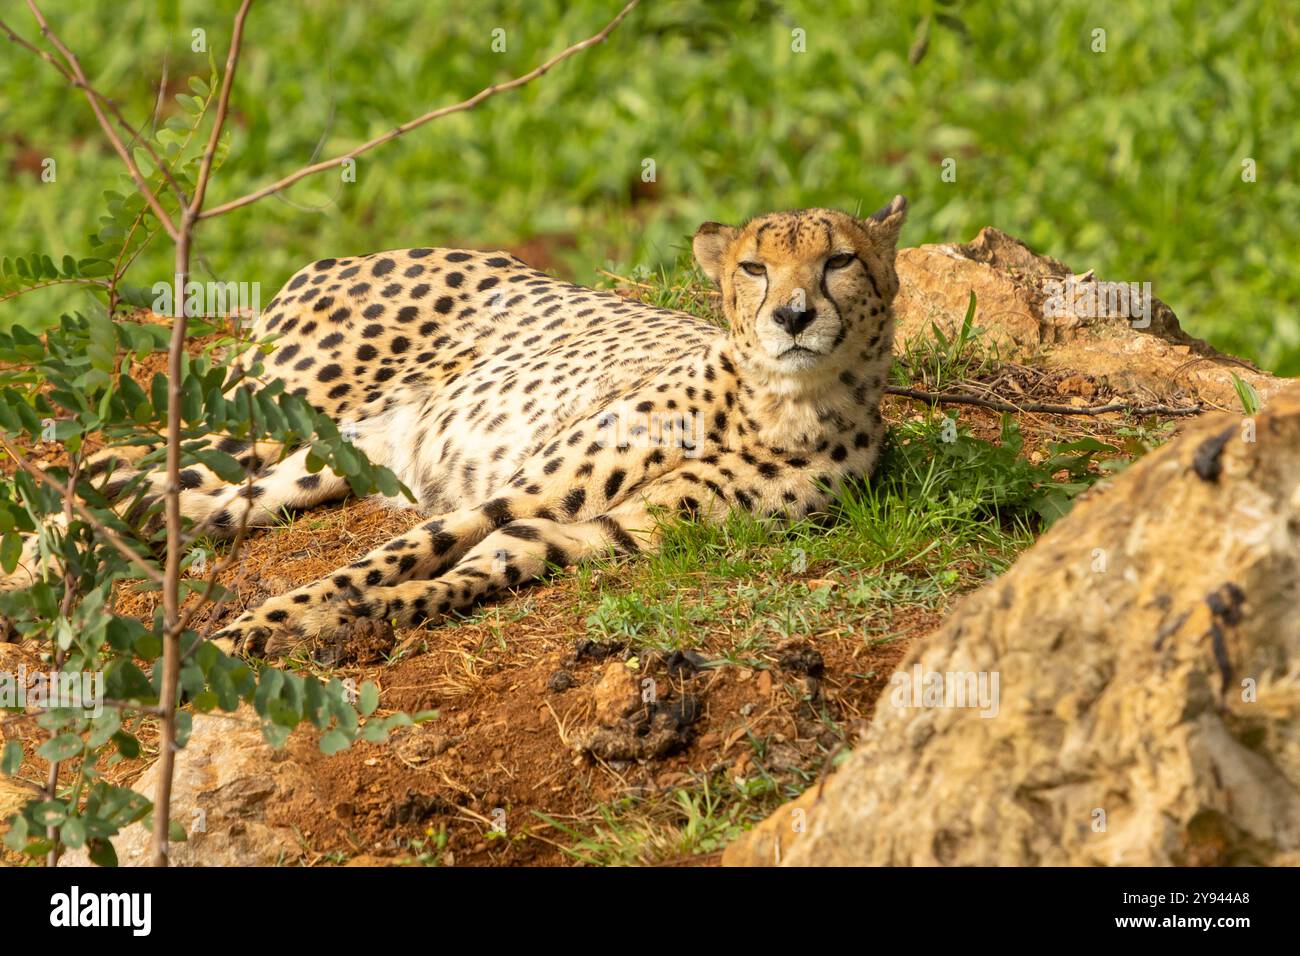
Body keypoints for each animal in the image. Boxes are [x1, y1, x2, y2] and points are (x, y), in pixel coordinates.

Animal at [7, 196, 908, 656]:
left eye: (838, 261)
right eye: (755, 267)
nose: (793, 316)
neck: (781, 400)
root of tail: (359, 252)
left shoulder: (602, 531)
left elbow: (462, 575)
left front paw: (348, 622)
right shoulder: (516, 492)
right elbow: (382, 560)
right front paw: (256, 627)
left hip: (309, 466)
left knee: (171, 495)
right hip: (265, 413)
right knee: (111, 460)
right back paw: (30, 577)